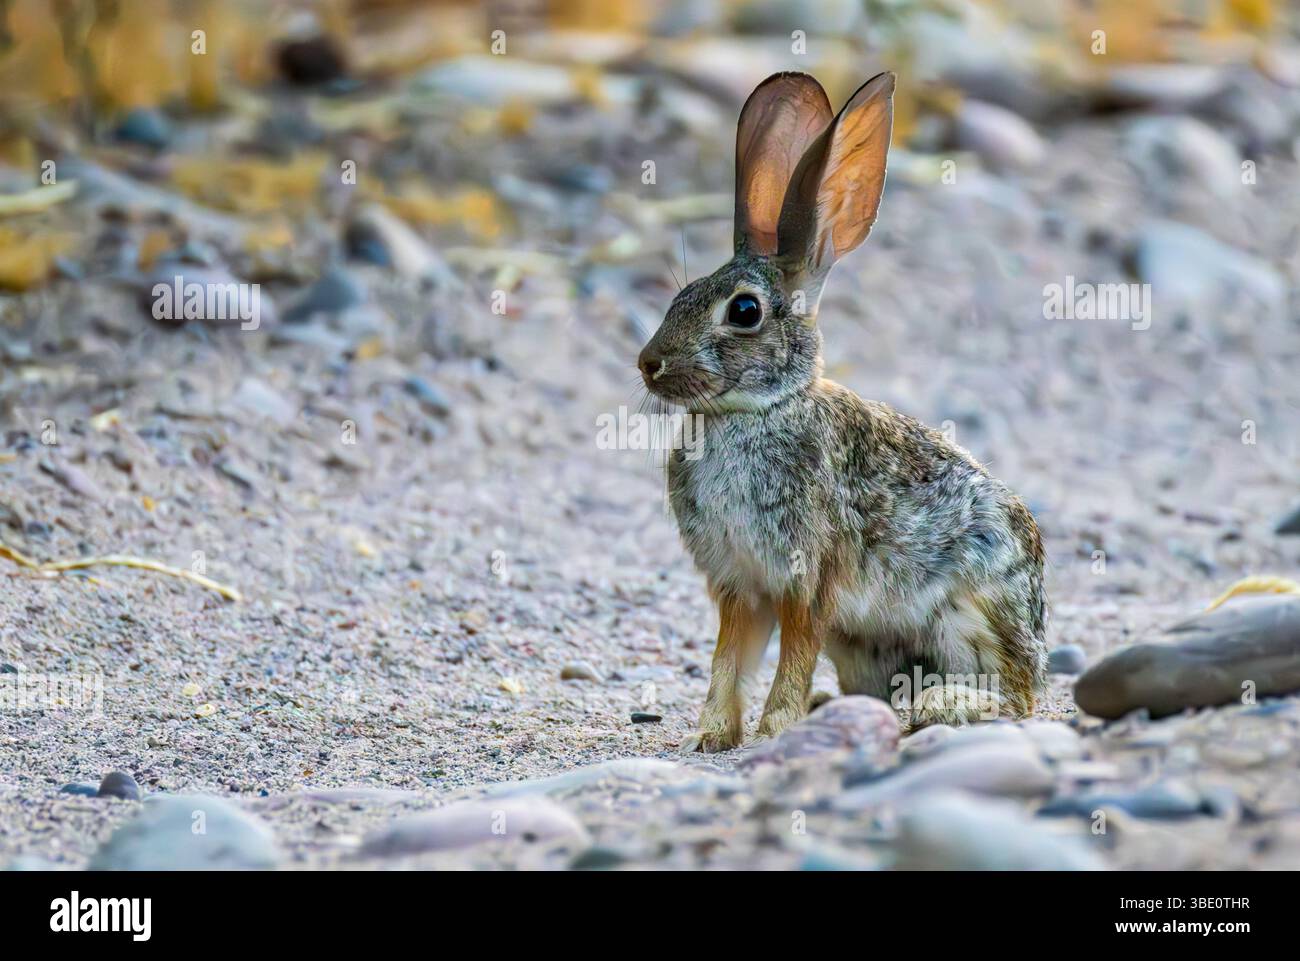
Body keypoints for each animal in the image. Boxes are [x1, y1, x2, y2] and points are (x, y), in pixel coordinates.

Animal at [637, 72, 1047, 753]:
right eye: (680, 295)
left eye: (743, 312)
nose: (649, 364)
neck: (755, 410)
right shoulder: (738, 584)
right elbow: (729, 658)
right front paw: (712, 736)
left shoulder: (808, 577)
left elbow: (792, 653)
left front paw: (776, 728)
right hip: (860, 646)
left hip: (970, 615)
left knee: (1018, 697)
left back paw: (944, 705)